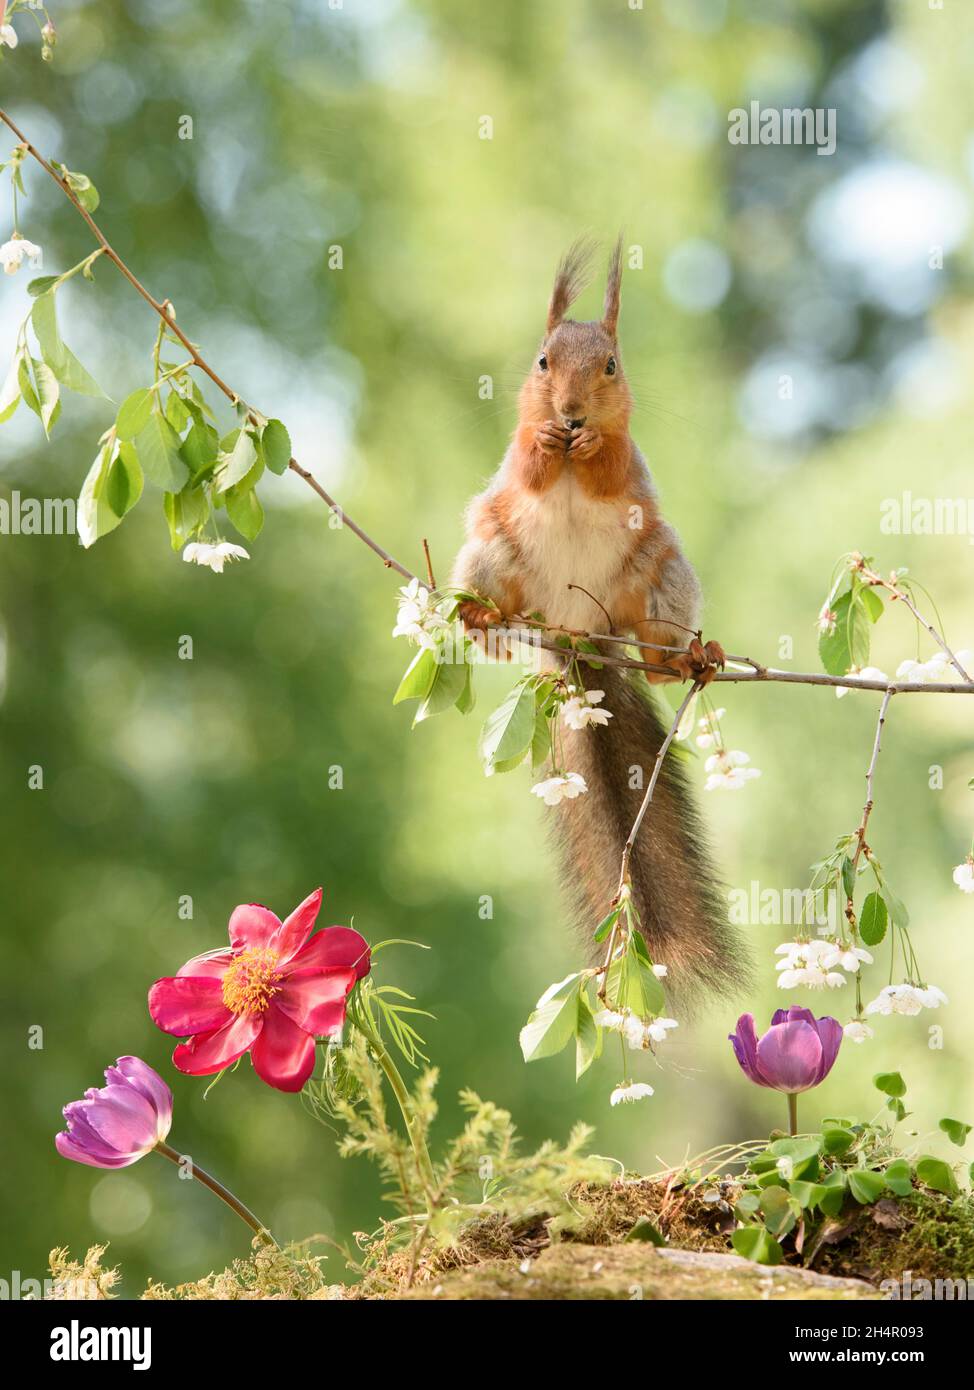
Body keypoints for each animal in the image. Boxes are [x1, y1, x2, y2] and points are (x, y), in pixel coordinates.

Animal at [450, 239, 749, 1003]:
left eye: (612, 364)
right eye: (541, 361)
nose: (572, 411)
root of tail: (577, 634)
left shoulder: (631, 462)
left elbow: (612, 467)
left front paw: (588, 448)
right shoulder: (514, 460)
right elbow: (528, 462)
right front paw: (549, 439)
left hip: (658, 572)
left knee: (656, 654)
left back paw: (686, 659)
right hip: (492, 551)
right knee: (497, 606)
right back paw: (481, 618)